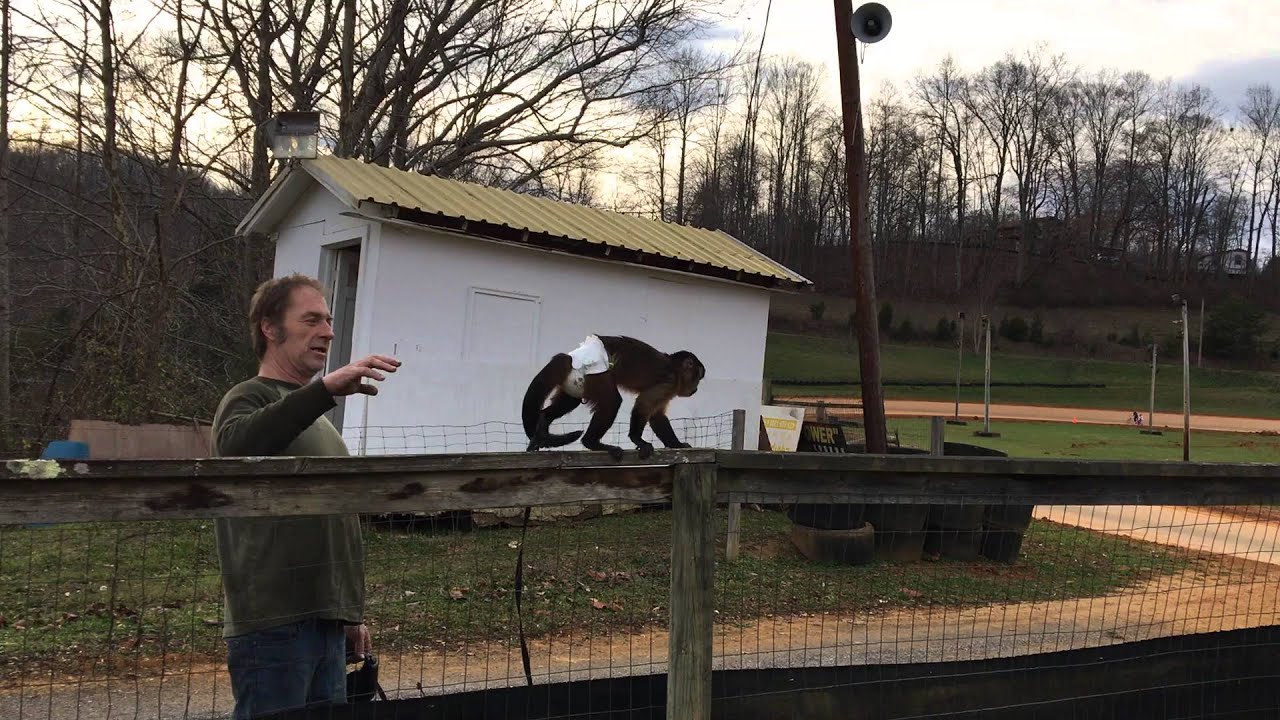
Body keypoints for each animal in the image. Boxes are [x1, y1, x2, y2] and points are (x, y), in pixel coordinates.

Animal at [522, 334, 705, 460]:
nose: (696, 388)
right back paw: (592, 443)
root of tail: (570, 356)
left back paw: (542, 427)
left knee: (570, 401)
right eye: (698, 378)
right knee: (612, 402)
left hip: (576, 381)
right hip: (595, 375)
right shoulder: (669, 382)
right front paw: (638, 439)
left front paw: (676, 444)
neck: (675, 371)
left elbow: (656, 416)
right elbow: (644, 405)